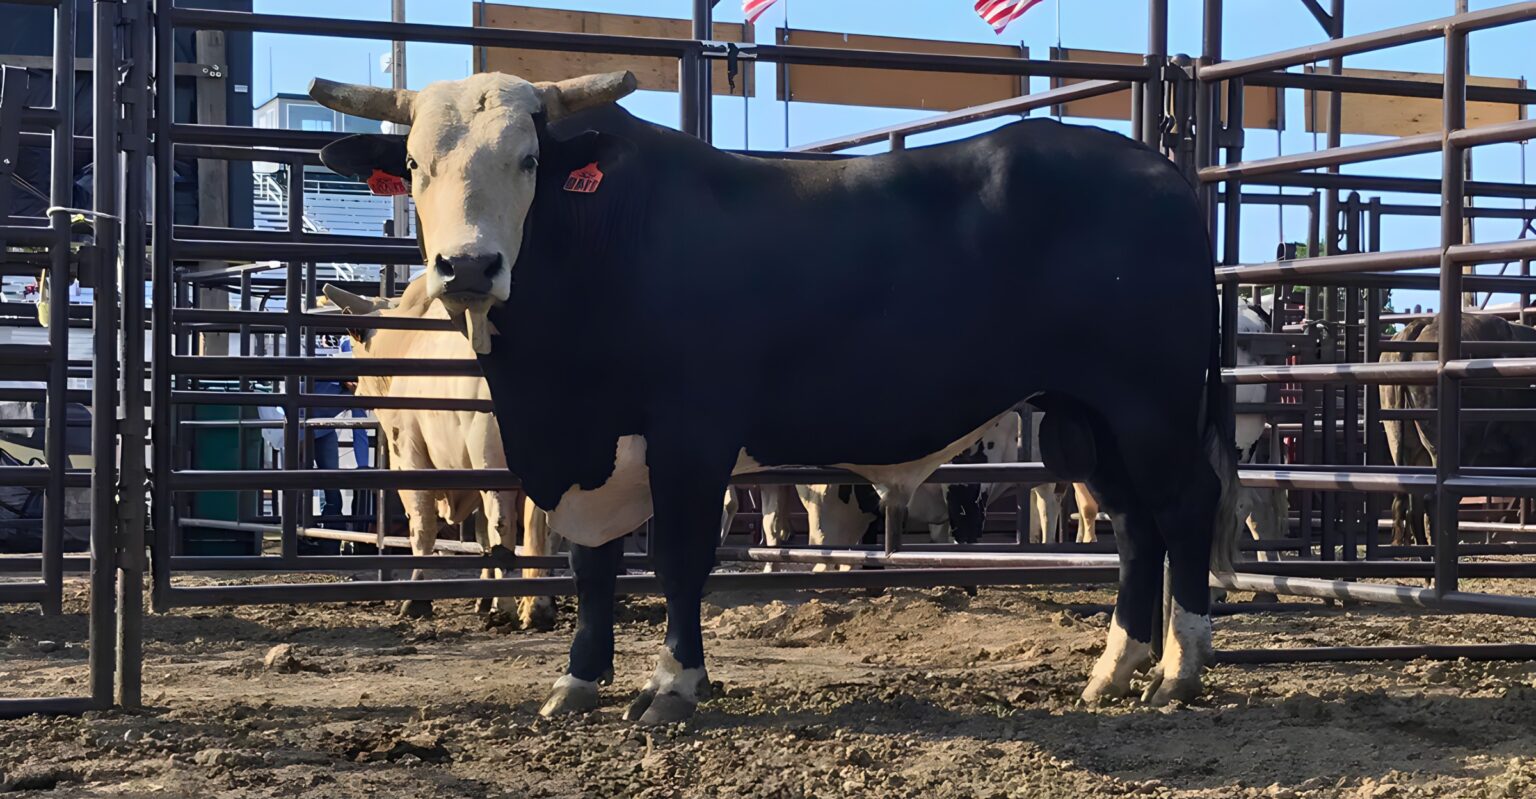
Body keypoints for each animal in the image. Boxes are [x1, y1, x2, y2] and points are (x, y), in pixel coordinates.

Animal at [321, 279, 558, 630]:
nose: (354, 388)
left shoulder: (411, 454)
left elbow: (423, 527)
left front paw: (417, 599)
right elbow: (480, 534)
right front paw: (485, 599)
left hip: (491, 453)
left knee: (503, 522)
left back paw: (516, 605)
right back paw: (538, 605)